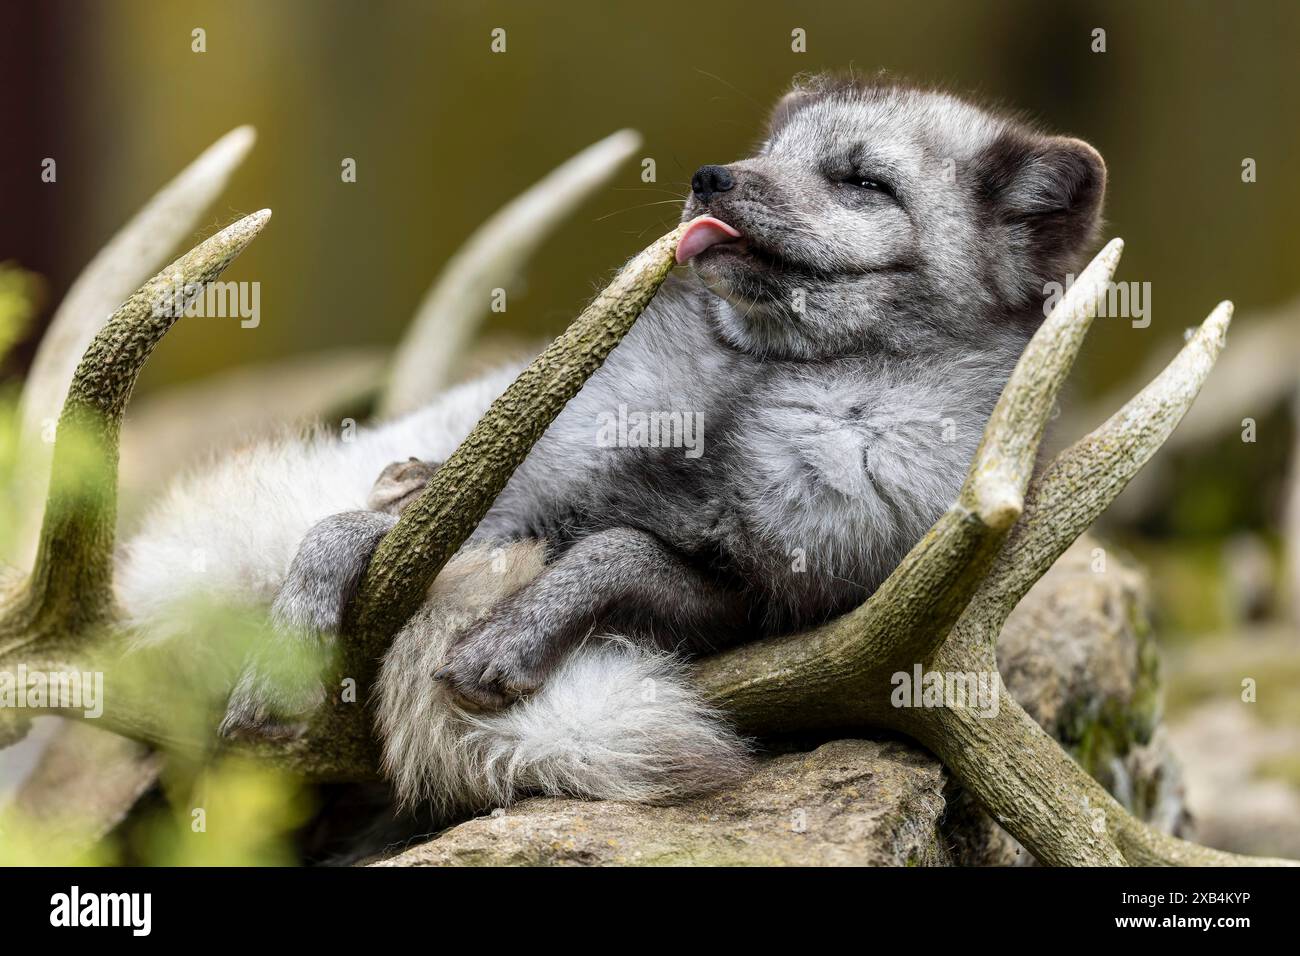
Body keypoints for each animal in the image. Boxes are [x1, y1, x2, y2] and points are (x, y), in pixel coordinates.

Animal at [118, 74, 1106, 819]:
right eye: (770, 151)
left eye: (863, 182)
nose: (710, 178)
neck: (744, 393)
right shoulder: (511, 509)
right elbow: (339, 534)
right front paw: (287, 647)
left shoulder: (768, 606)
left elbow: (617, 547)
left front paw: (504, 640)